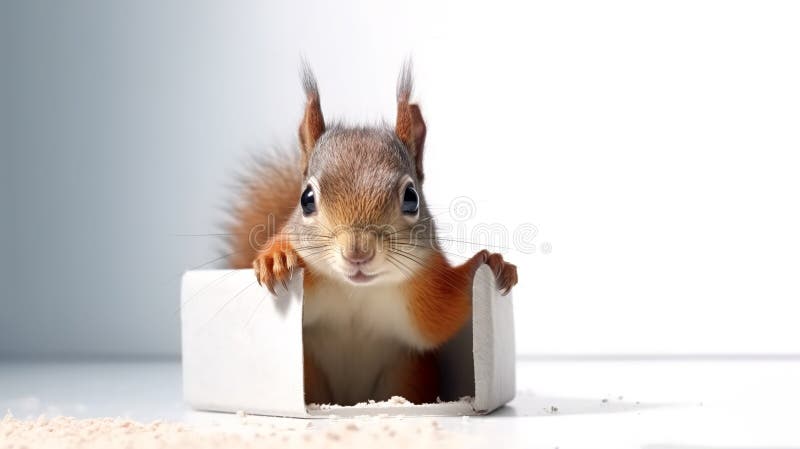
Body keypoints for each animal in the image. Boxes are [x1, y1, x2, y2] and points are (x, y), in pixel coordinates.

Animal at [227, 62, 518, 406]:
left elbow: (441, 317)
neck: (357, 291)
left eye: (411, 197)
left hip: (405, 375)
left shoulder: (422, 291)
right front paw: (275, 258)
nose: (358, 252)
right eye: (306, 199)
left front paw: (490, 262)